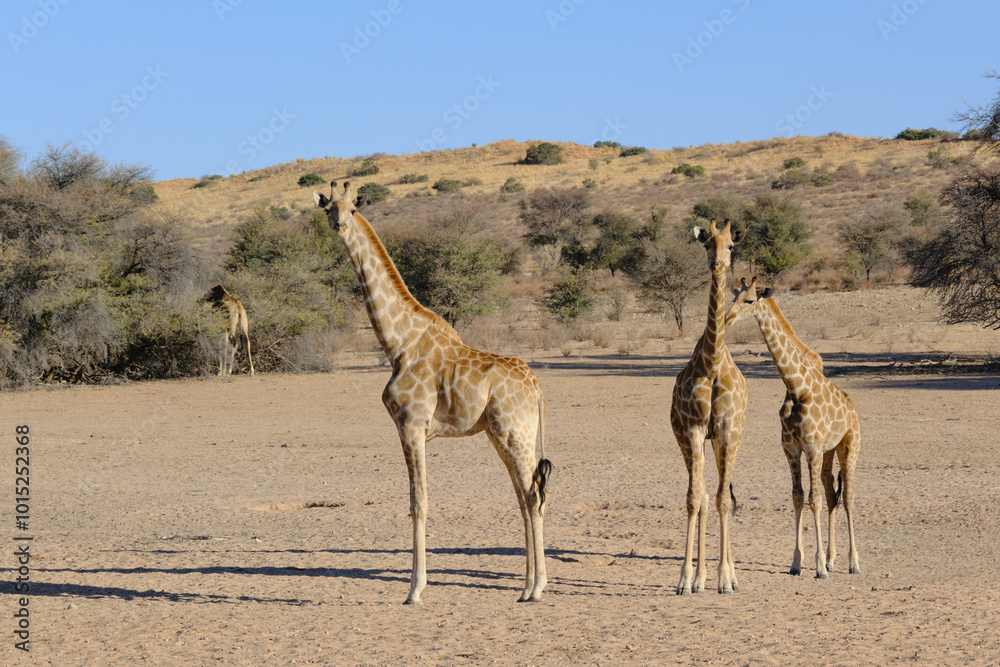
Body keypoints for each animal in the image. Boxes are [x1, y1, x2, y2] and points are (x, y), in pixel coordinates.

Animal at [313, 180, 551, 604]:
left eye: (353, 209)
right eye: (329, 208)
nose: (339, 225)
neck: (398, 343)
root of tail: (536, 384)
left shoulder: (411, 424)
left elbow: (418, 503)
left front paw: (415, 589)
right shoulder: (413, 428)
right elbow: (417, 502)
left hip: (515, 433)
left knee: (533, 497)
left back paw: (538, 587)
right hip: (501, 435)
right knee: (524, 498)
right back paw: (525, 588)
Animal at [725, 277, 861, 578]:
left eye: (749, 300)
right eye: (733, 297)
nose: (726, 318)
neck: (796, 386)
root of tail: (851, 406)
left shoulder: (811, 446)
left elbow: (814, 500)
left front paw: (818, 566)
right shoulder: (791, 447)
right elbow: (798, 497)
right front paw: (798, 562)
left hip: (850, 446)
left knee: (847, 497)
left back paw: (853, 563)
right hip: (829, 452)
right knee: (832, 495)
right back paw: (833, 560)